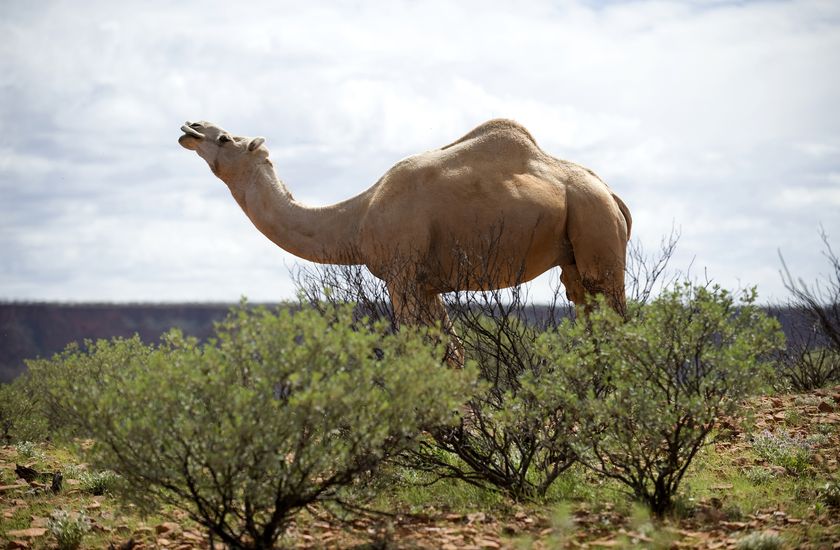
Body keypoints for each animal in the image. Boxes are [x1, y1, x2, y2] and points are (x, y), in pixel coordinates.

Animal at [178, 119, 632, 341]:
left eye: (224, 138)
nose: (191, 127)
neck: (358, 218)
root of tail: (613, 196)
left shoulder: (403, 275)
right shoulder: (427, 284)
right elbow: (452, 351)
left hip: (594, 226)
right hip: (576, 254)